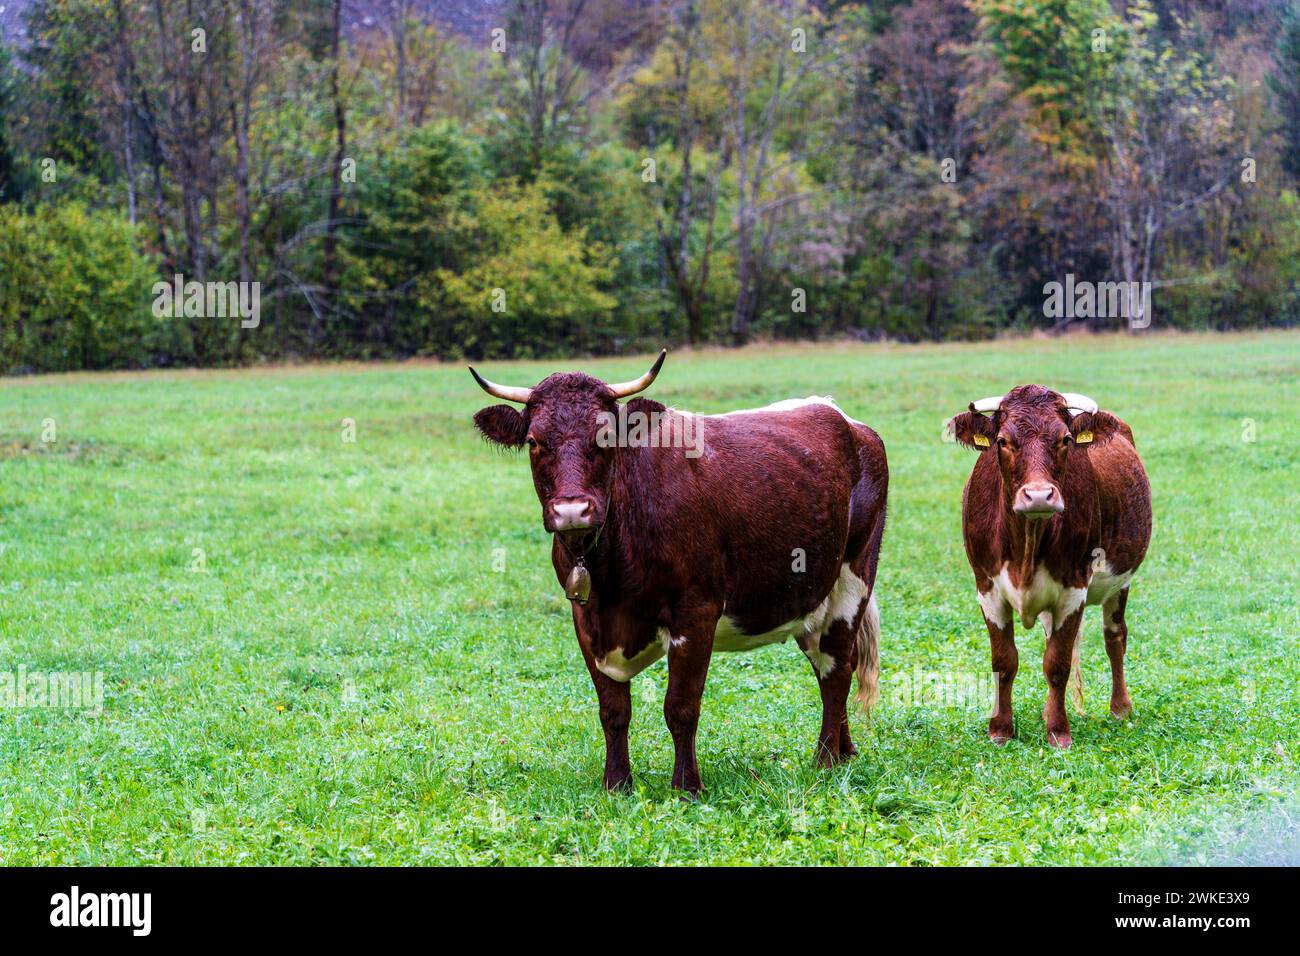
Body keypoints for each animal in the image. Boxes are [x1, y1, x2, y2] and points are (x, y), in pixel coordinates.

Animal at [470, 351, 888, 794]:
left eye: (606, 437)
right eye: (534, 441)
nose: (571, 510)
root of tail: (845, 419)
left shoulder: (696, 611)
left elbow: (681, 707)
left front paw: (687, 786)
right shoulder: (584, 618)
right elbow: (613, 710)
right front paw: (616, 782)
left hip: (854, 576)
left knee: (837, 667)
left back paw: (825, 760)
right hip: (810, 596)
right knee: (828, 662)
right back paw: (844, 750)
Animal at [945, 385, 1151, 748]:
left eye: (1065, 439)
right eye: (1002, 440)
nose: (1039, 496)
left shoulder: (1074, 589)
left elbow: (1057, 663)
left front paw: (1058, 731)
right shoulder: (987, 587)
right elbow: (1004, 660)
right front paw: (1000, 728)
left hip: (1120, 582)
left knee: (1115, 636)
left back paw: (1120, 707)